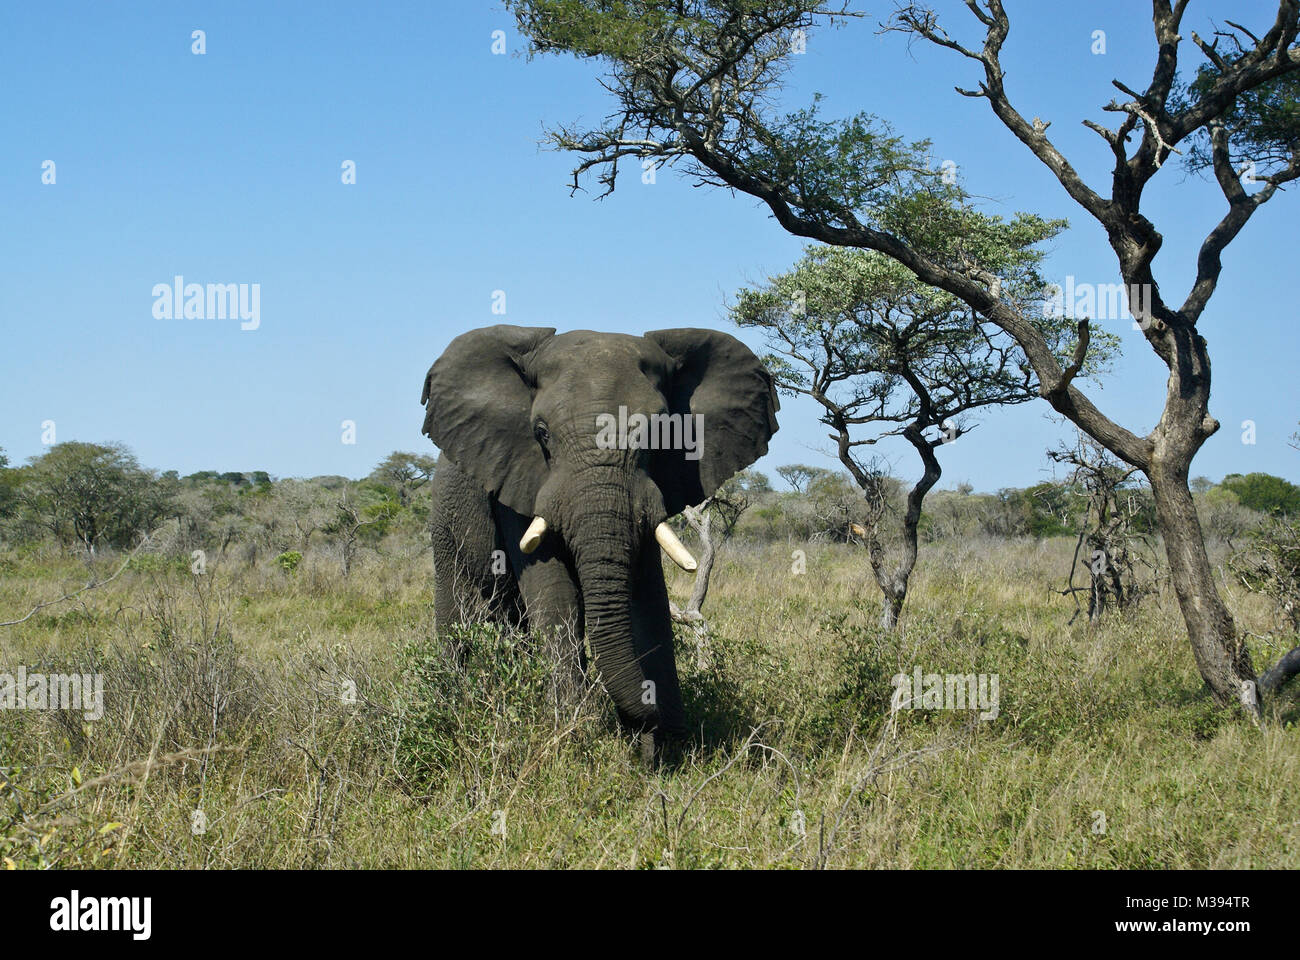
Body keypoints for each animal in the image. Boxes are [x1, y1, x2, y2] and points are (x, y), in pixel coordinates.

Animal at [420, 325, 778, 758]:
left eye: (662, 432)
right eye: (541, 433)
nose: (640, 724)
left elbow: (648, 594)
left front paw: (672, 745)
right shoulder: (521, 474)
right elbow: (553, 590)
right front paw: (577, 735)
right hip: (445, 524)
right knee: (459, 613)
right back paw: (457, 703)